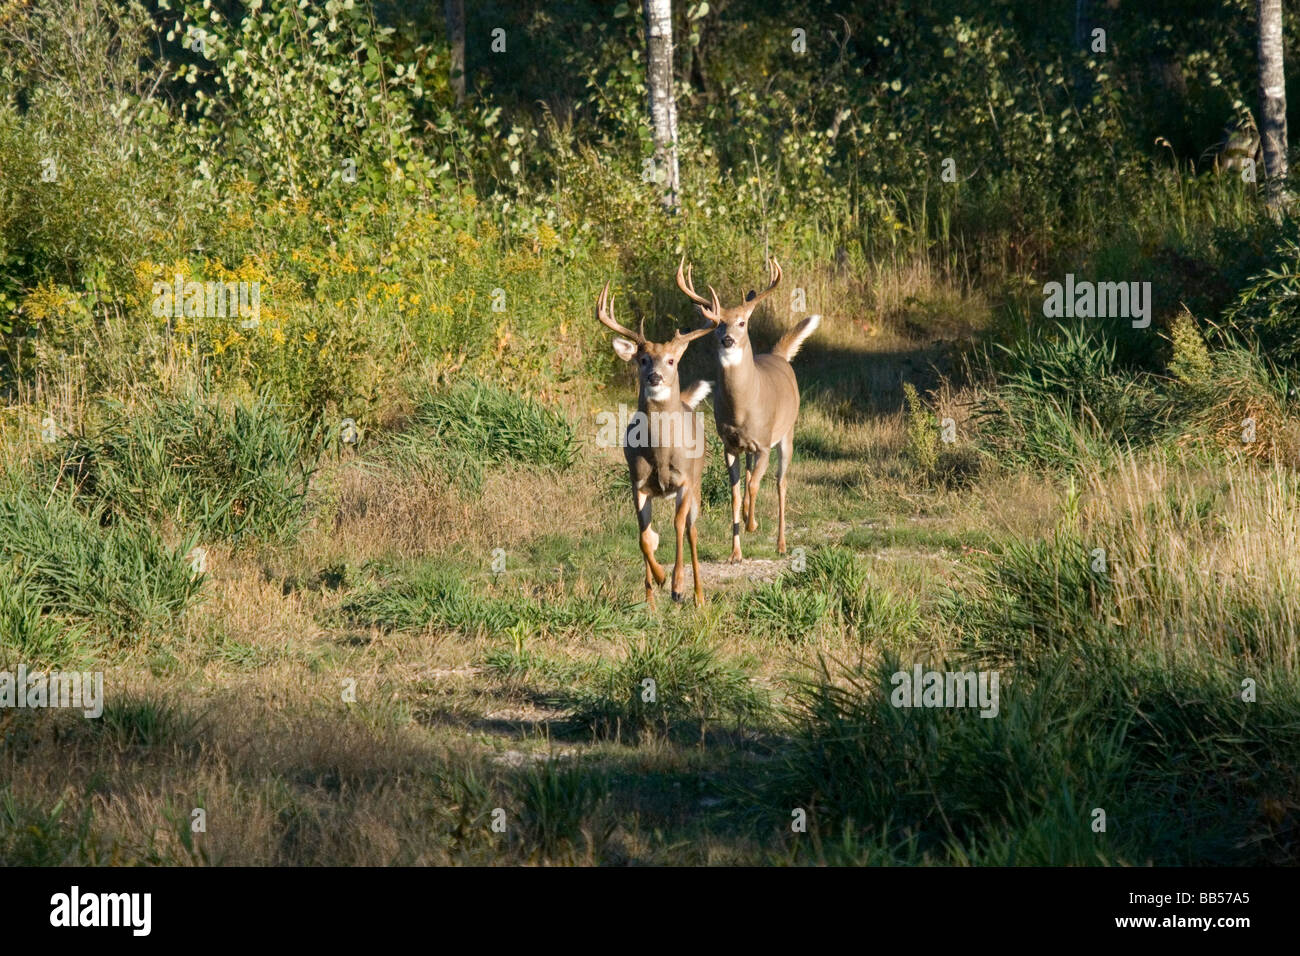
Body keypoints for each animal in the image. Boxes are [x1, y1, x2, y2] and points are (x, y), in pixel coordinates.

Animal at [595, 280, 720, 607]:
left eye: (672, 360)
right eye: (643, 359)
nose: (655, 376)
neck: (662, 455)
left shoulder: (685, 480)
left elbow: (677, 526)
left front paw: (676, 585)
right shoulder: (638, 482)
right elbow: (645, 537)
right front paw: (659, 580)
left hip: (698, 481)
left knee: (691, 530)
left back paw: (698, 596)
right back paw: (651, 598)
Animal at [677, 256, 820, 562]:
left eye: (742, 322)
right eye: (717, 324)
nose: (728, 339)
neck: (741, 410)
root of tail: (779, 356)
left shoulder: (764, 443)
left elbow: (754, 486)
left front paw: (752, 524)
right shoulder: (729, 445)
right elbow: (735, 492)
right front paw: (735, 552)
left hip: (787, 432)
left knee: (780, 483)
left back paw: (781, 543)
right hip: (753, 448)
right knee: (754, 476)